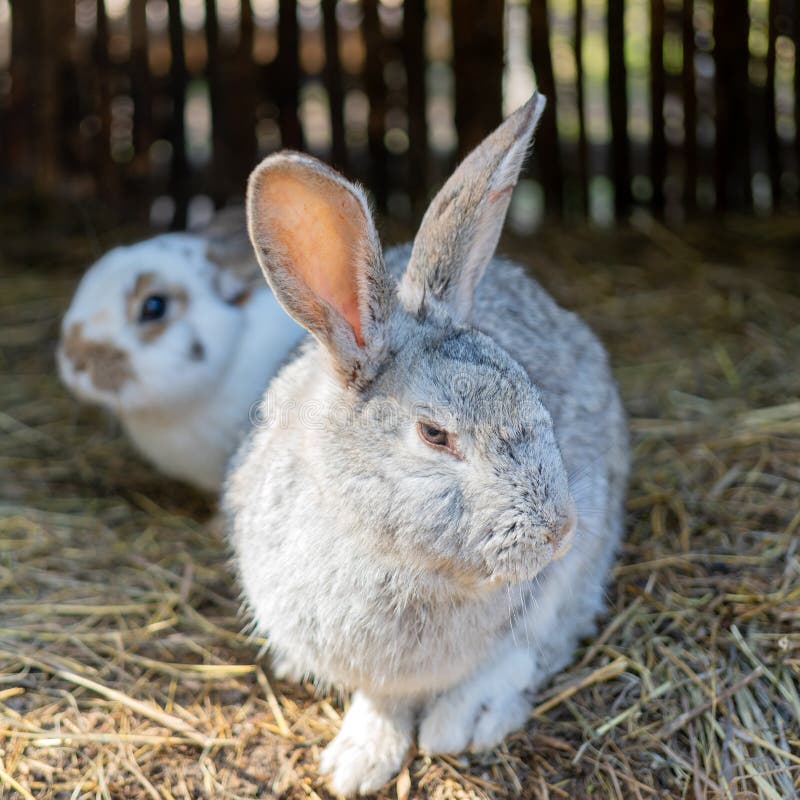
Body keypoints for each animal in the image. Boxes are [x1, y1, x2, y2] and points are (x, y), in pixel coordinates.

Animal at [224, 92, 629, 796]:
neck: (401, 558)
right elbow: (380, 700)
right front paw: (358, 763)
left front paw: (456, 725)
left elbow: (518, 655)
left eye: (530, 390)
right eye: (435, 434)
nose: (559, 530)